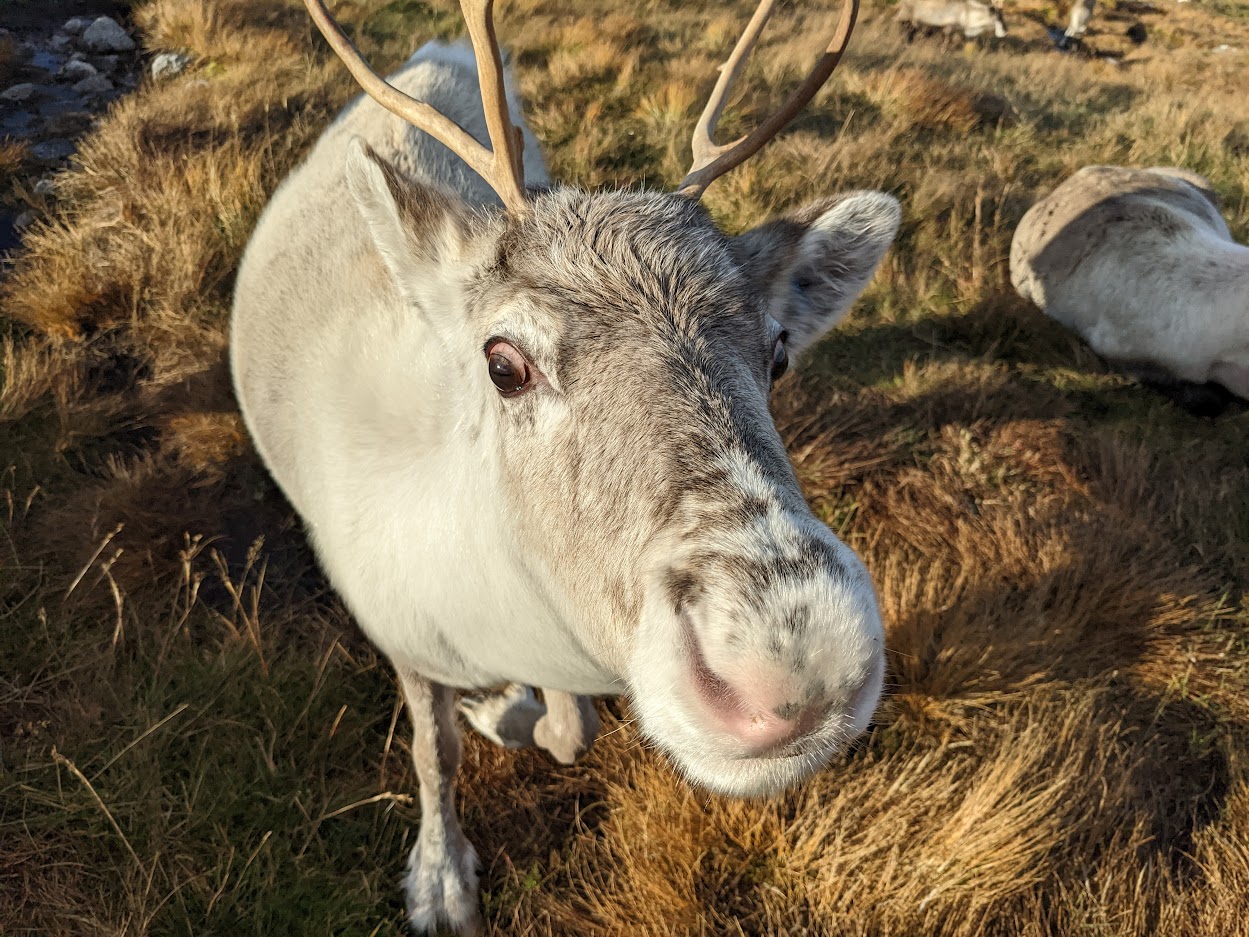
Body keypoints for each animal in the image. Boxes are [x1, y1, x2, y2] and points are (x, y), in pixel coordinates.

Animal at [230, 0, 901, 932]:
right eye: (503, 362)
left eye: (778, 353)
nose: (798, 666)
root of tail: (437, 50)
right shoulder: (396, 632)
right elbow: (432, 751)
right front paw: (441, 877)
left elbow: (569, 732)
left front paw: (513, 716)